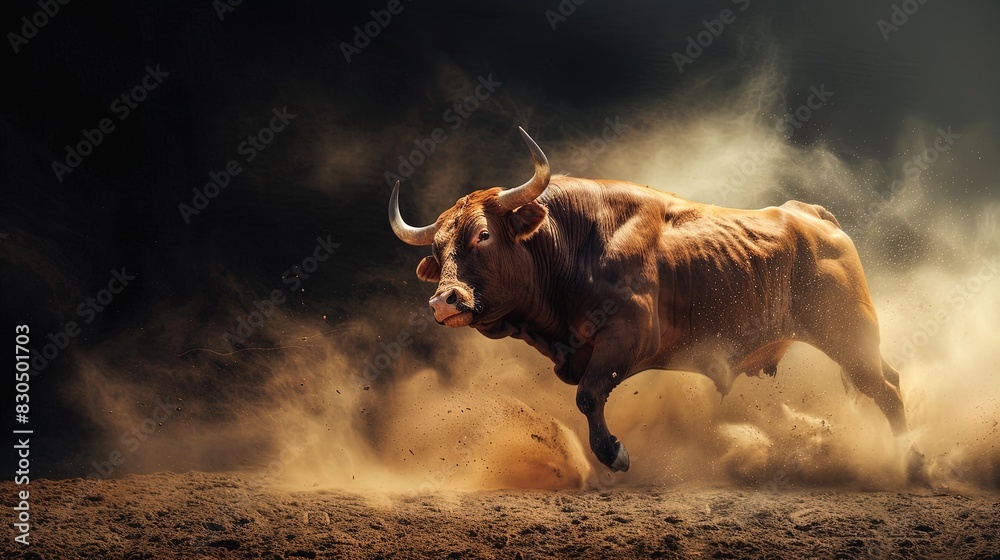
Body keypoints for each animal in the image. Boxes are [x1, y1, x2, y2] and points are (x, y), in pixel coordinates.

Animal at [389, 127, 923, 479]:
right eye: (438, 250)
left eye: (483, 234)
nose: (445, 300)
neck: (577, 243)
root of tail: (806, 215)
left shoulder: (628, 337)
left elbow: (588, 394)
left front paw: (615, 453)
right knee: (890, 383)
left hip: (850, 337)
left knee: (886, 390)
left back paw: (911, 462)